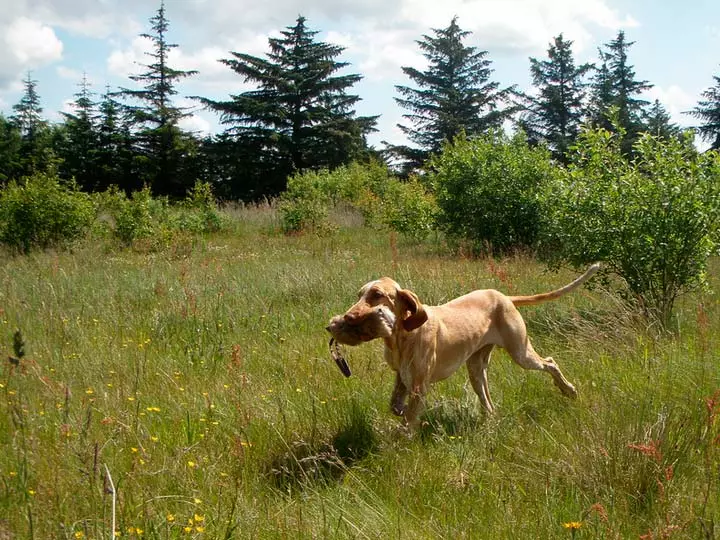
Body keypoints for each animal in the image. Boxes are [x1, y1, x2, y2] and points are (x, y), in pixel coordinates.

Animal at [326, 264, 596, 428]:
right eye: (359, 295)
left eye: (377, 295)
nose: (347, 317)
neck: (402, 337)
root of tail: (504, 297)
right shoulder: (402, 376)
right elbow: (395, 404)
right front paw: (400, 411)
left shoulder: (419, 385)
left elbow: (409, 420)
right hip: (476, 369)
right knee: (488, 403)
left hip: (521, 353)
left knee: (550, 362)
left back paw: (568, 389)